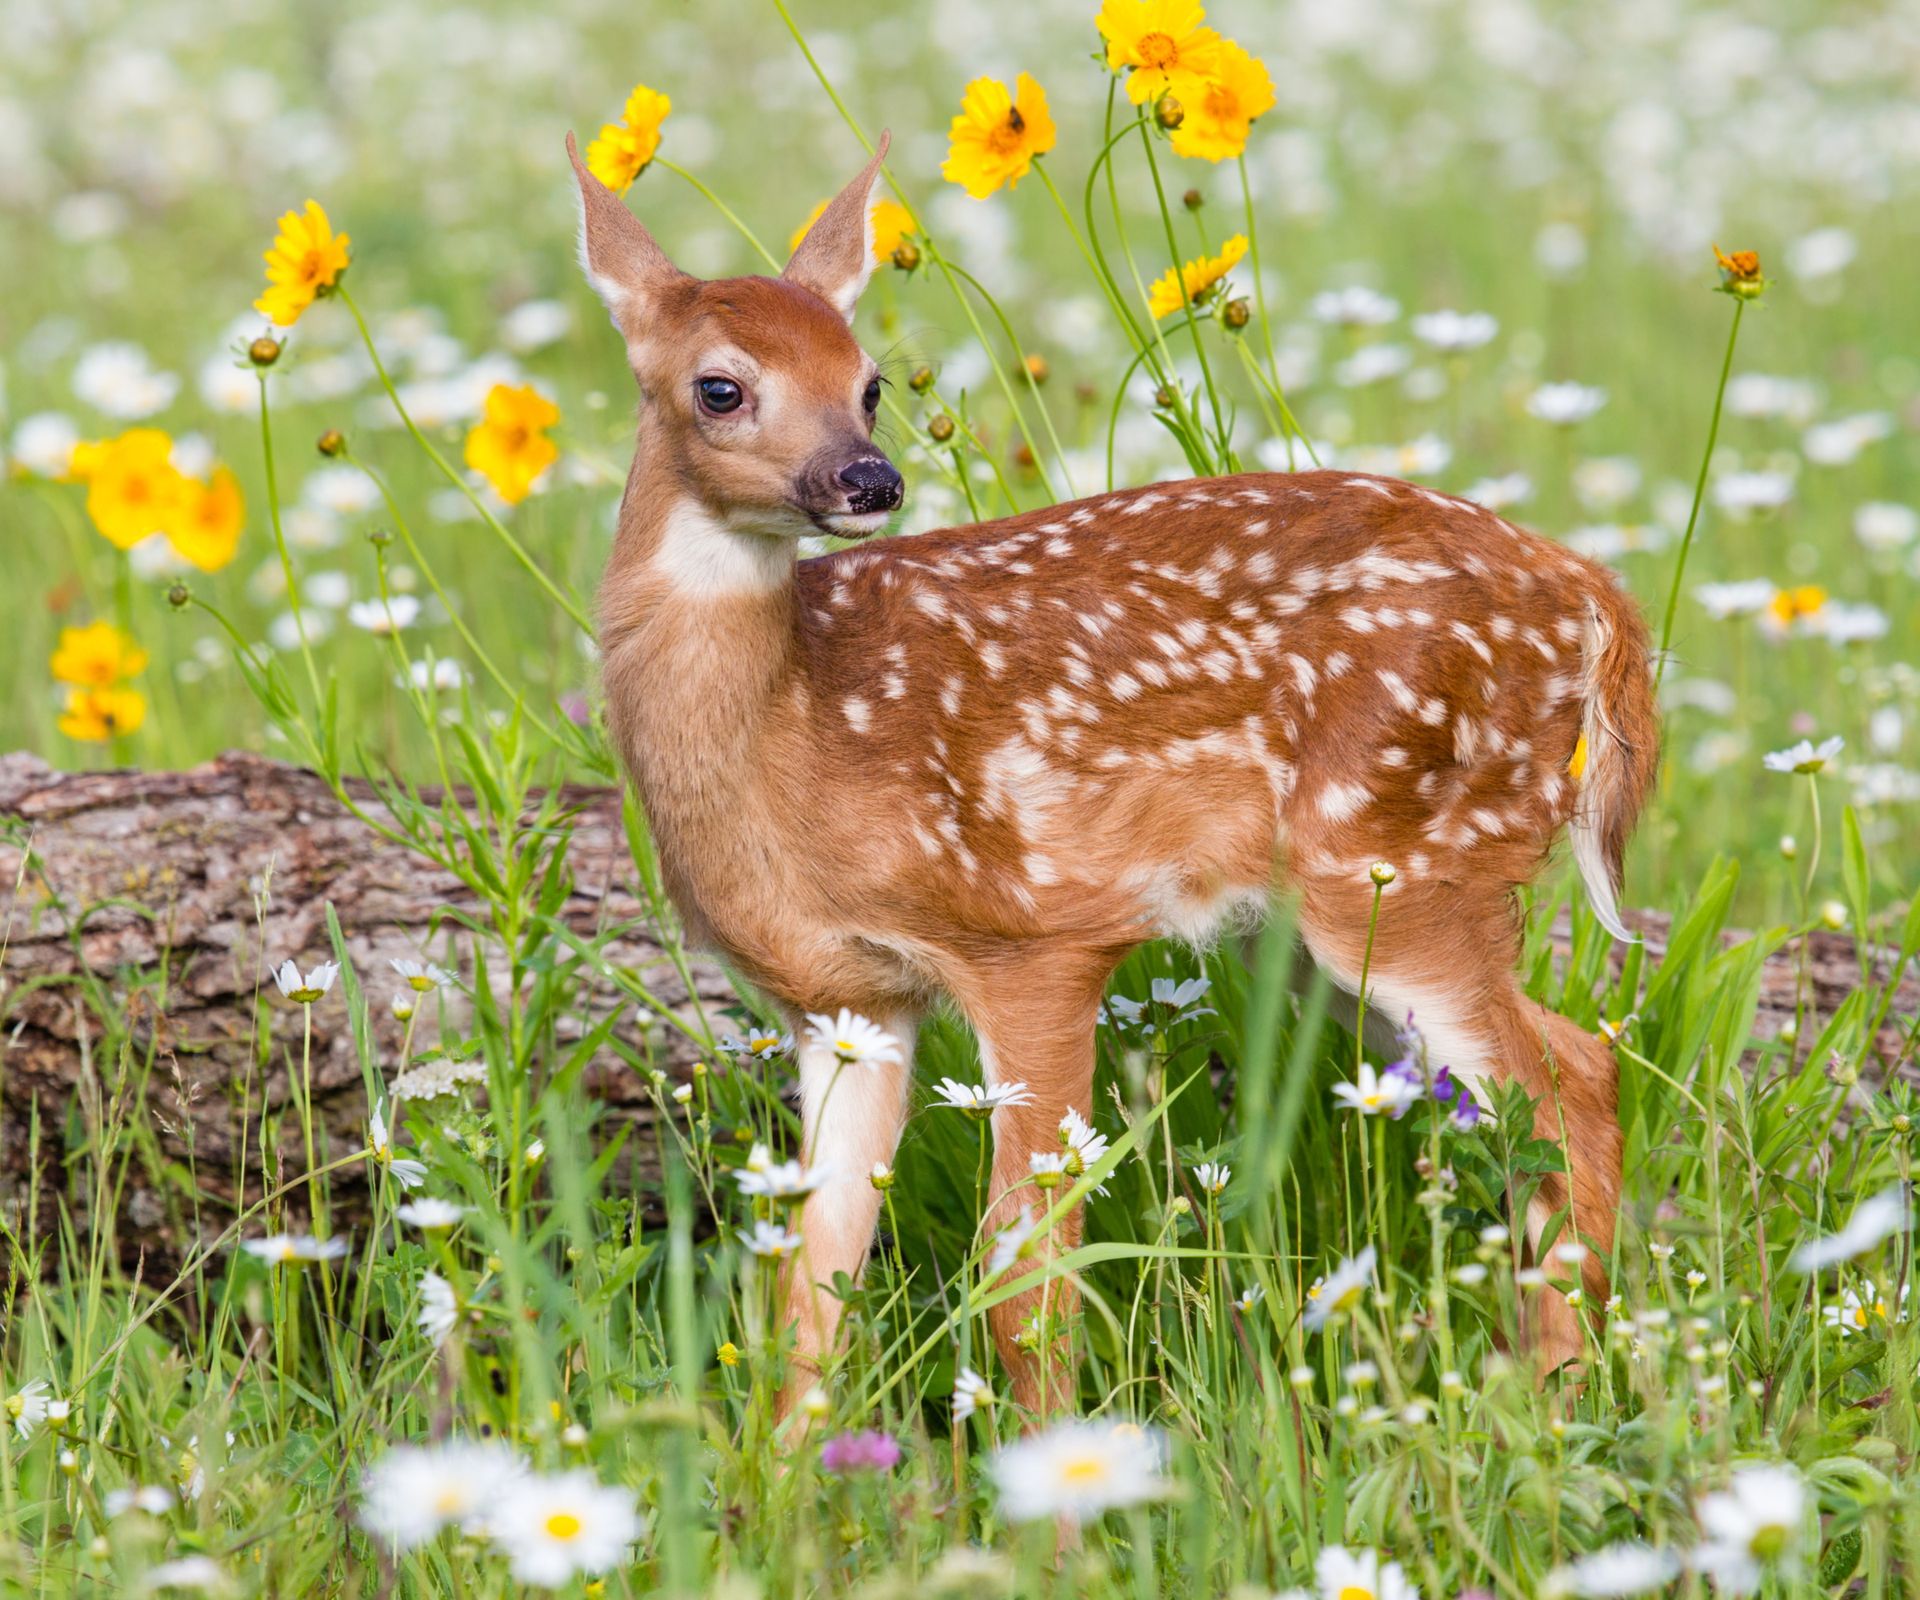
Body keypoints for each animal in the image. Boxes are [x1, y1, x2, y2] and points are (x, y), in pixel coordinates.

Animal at [567, 128, 1660, 1418]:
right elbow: (810, 1286)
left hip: (1407, 862)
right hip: (1347, 911)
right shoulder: (847, 1001)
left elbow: (1023, 1277)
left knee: (1575, 1082)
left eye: (870, 378)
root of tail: (1588, 590)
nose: (868, 478)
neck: (797, 735)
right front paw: (785, 1470)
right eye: (720, 387)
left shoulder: (1035, 933)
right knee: (1561, 1078)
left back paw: (1554, 1399)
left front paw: (1049, 1465)